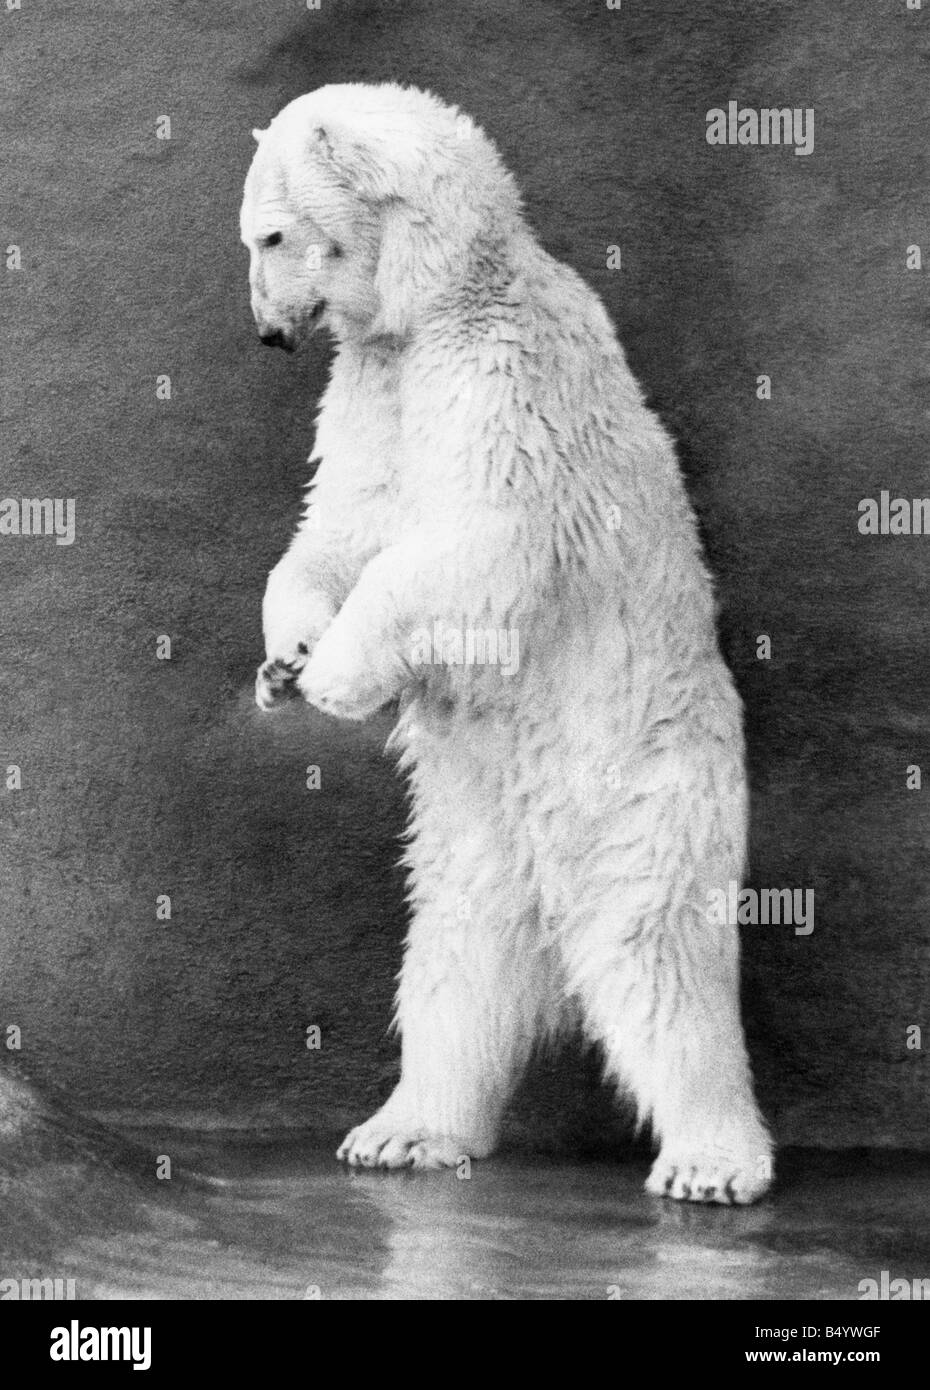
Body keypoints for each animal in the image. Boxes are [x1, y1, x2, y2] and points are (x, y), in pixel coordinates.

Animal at [240, 82, 773, 1203]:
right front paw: (284, 658)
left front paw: (337, 672)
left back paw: (711, 1158)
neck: (441, 296)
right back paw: (404, 1128)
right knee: (453, 966)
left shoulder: (500, 370)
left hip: (651, 788)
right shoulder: (377, 382)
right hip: (473, 837)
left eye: (272, 234)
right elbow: (342, 520)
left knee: (659, 961)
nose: (267, 333)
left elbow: (483, 538)